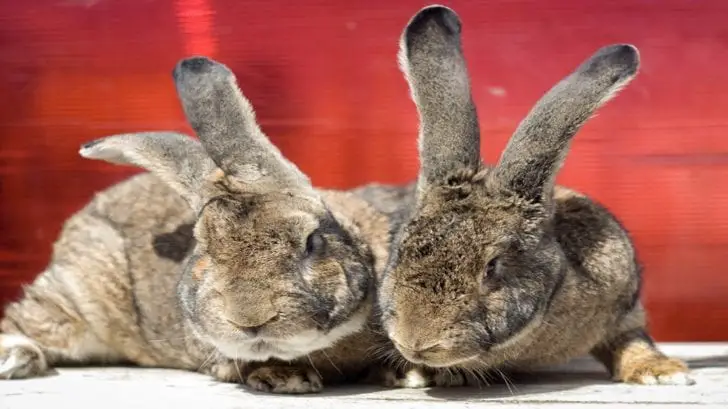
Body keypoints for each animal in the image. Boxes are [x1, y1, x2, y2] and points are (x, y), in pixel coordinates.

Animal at [0, 56, 411, 394]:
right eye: (205, 251)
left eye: (311, 242)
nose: (250, 319)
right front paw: (285, 378)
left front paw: (404, 375)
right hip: (74, 295)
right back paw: (15, 358)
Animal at [376, 5, 694, 388]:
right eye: (400, 251)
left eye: (492, 267)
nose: (417, 342)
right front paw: (415, 374)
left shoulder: (624, 305)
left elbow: (631, 339)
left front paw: (663, 374)